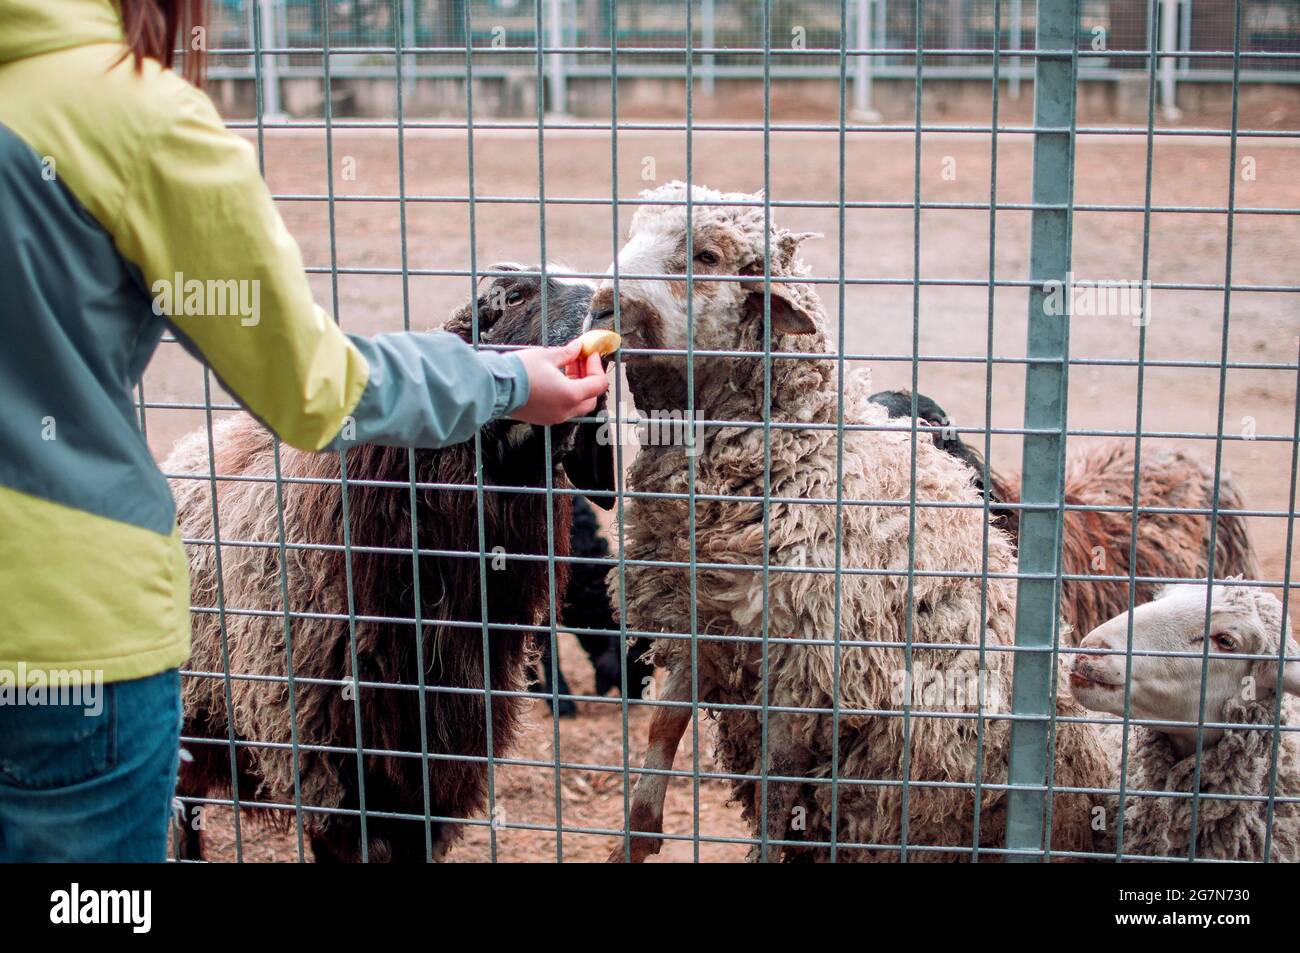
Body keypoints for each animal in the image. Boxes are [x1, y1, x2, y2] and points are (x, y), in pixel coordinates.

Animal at [587, 182, 1112, 862]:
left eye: (706, 255)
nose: (600, 307)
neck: (796, 449)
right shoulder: (703, 621)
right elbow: (663, 723)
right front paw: (636, 832)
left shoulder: (808, 666)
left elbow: (777, 788)